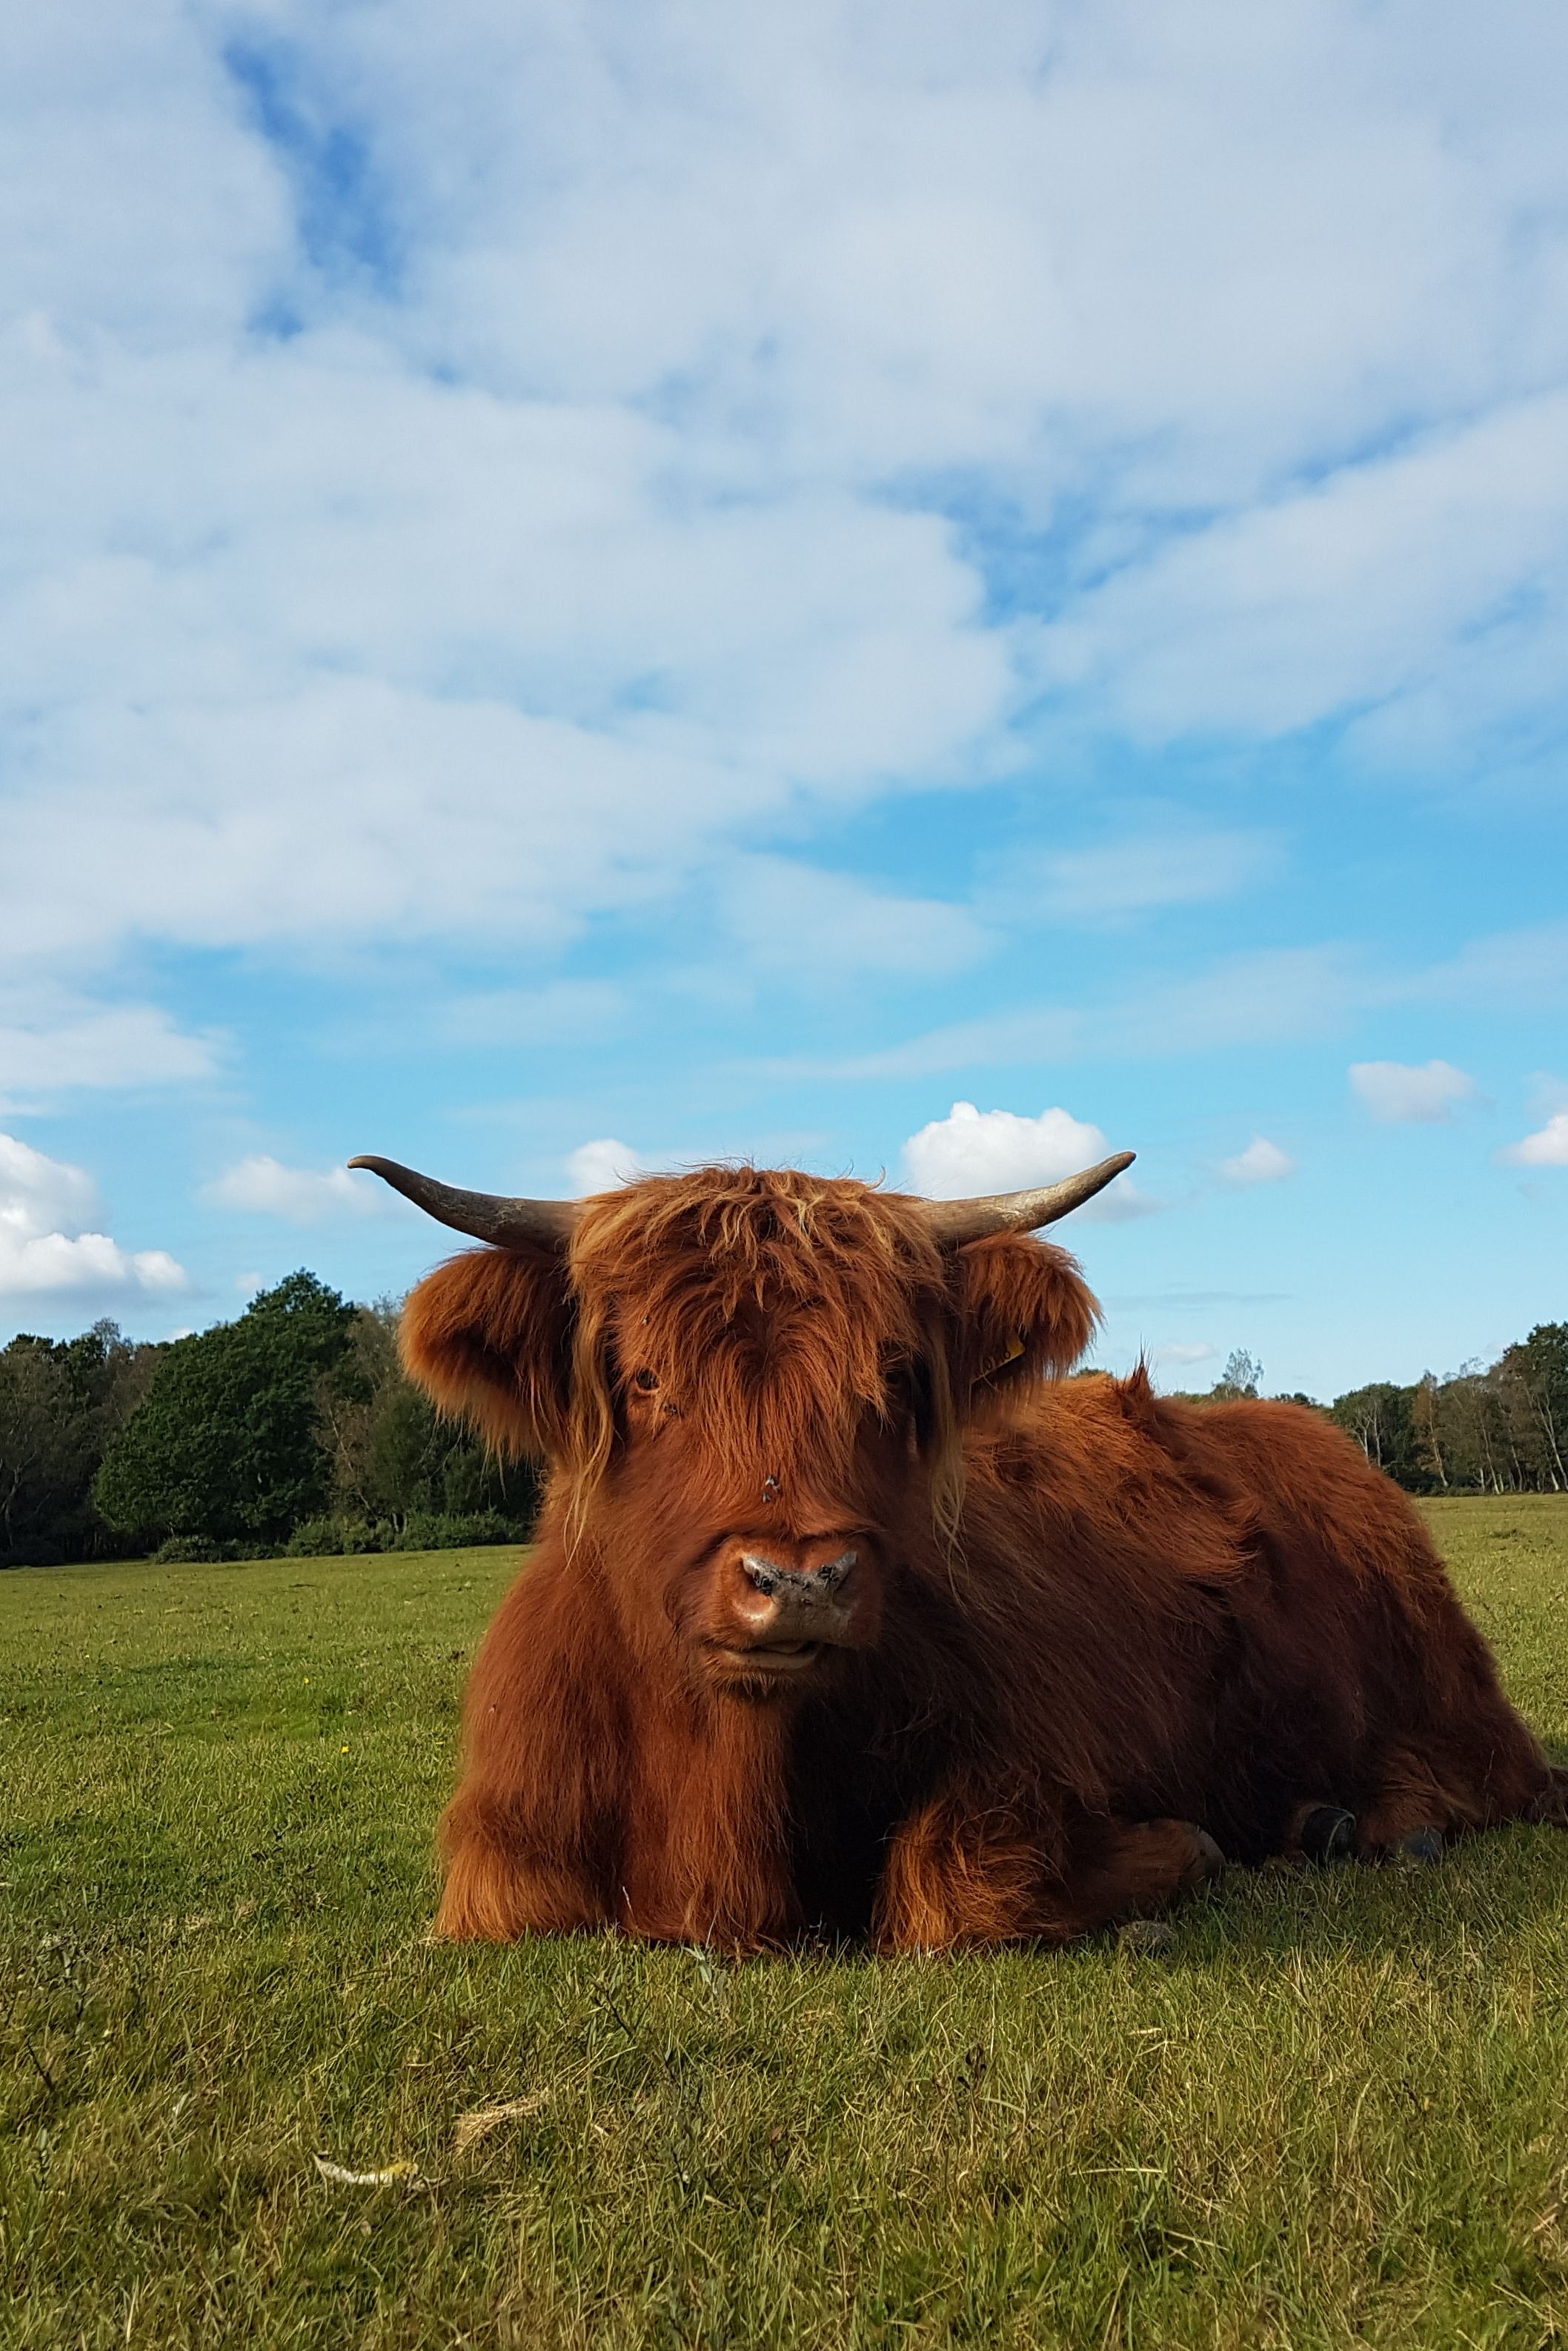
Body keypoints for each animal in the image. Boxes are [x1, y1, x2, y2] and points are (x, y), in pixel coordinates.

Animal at [349, 1150, 1566, 1952]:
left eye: (890, 1376)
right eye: (647, 1379)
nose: (799, 1581)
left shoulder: (1032, 1749)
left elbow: (951, 1885)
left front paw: (1185, 1853)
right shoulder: (508, 1855)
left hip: (1440, 1682)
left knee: (1493, 1777)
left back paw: (1365, 1822)